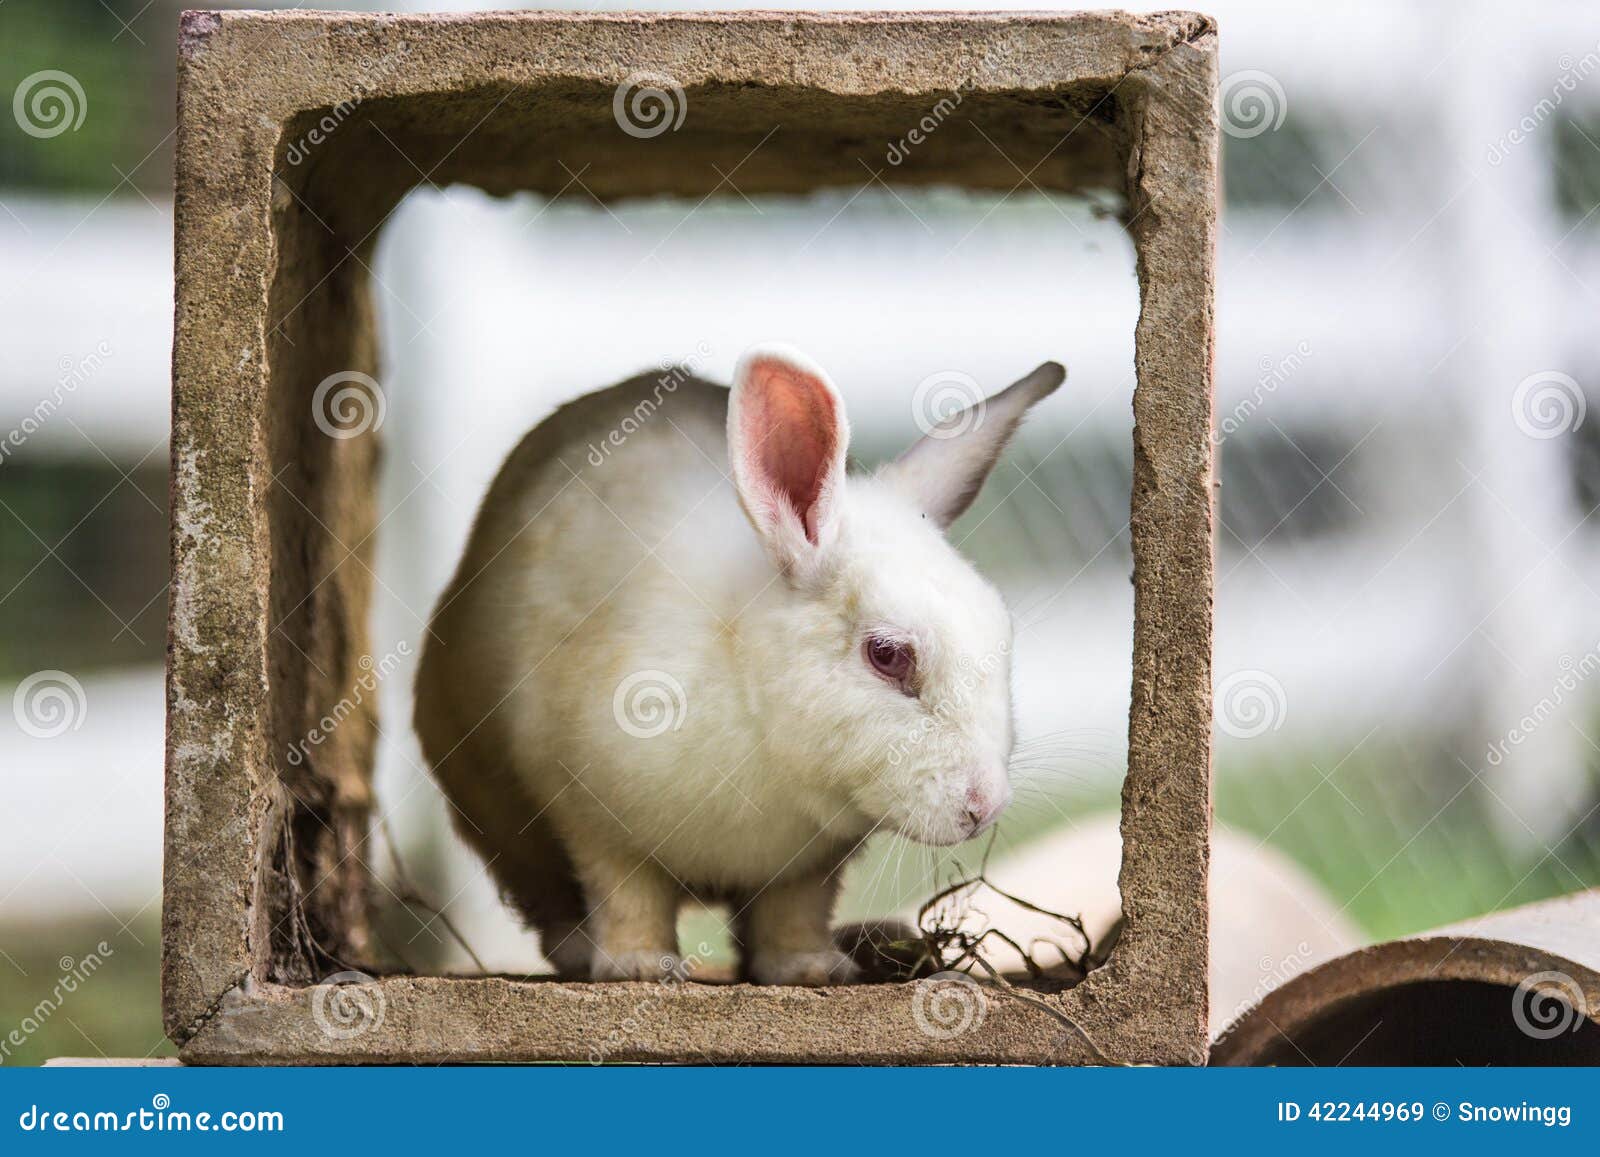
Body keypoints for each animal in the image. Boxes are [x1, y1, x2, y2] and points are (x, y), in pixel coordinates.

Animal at [414, 346, 1063, 985]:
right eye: (887, 655)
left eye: (1002, 631)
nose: (985, 806)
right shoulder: (592, 815)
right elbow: (627, 895)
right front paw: (639, 966)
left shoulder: (809, 864)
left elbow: (791, 912)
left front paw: (811, 968)